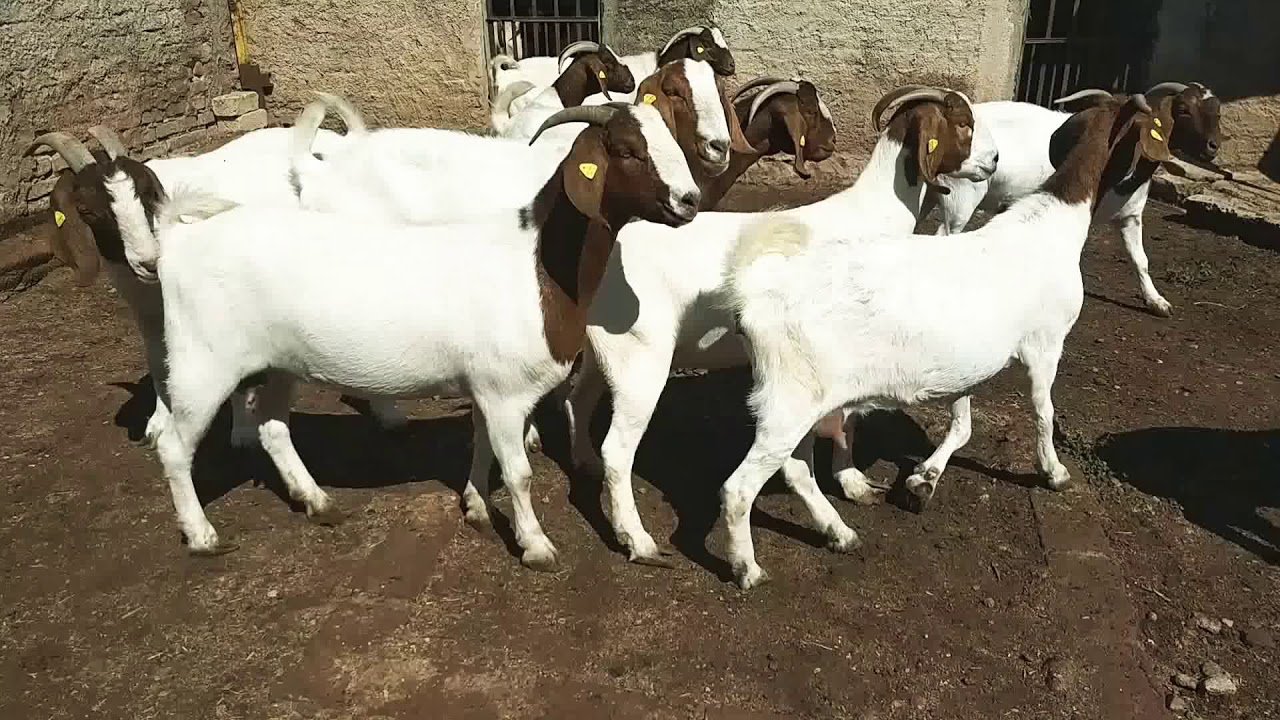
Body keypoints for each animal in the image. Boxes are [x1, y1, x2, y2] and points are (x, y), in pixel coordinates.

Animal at [148, 103, 702, 566]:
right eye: (628, 150)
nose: (690, 200)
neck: (537, 266)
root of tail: (178, 238)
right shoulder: (504, 392)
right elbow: (519, 473)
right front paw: (536, 545)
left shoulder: (484, 388)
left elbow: (482, 449)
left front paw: (476, 508)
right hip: (203, 360)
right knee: (175, 446)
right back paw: (201, 535)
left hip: (279, 361)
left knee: (273, 428)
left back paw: (317, 501)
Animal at [561, 86, 998, 565]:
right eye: (964, 125)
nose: (994, 160)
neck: (874, 214)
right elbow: (846, 421)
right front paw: (851, 482)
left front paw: (852, 485)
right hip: (641, 360)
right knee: (618, 450)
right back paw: (637, 540)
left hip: (606, 351)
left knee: (577, 400)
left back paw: (583, 461)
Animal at [719, 93, 1174, 589]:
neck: (1052, 221)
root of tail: (751, 304)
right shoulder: (1046, 343)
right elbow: (1044, 412)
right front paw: (1053, 472)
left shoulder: (969, 365)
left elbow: (964, 421)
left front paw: (924, 478)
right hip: (790, 400)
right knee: (739, 487)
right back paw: (748, 568)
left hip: (804, 401)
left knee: (798, 470)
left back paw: (839, 533)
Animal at [929, 81, 1220, 317]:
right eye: (1183, 109)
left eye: (1217, 112)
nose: (1213, 147)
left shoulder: (1130, 215)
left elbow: (1141, 259)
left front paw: (1157, 302)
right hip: (963, 195)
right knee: (946, 234)